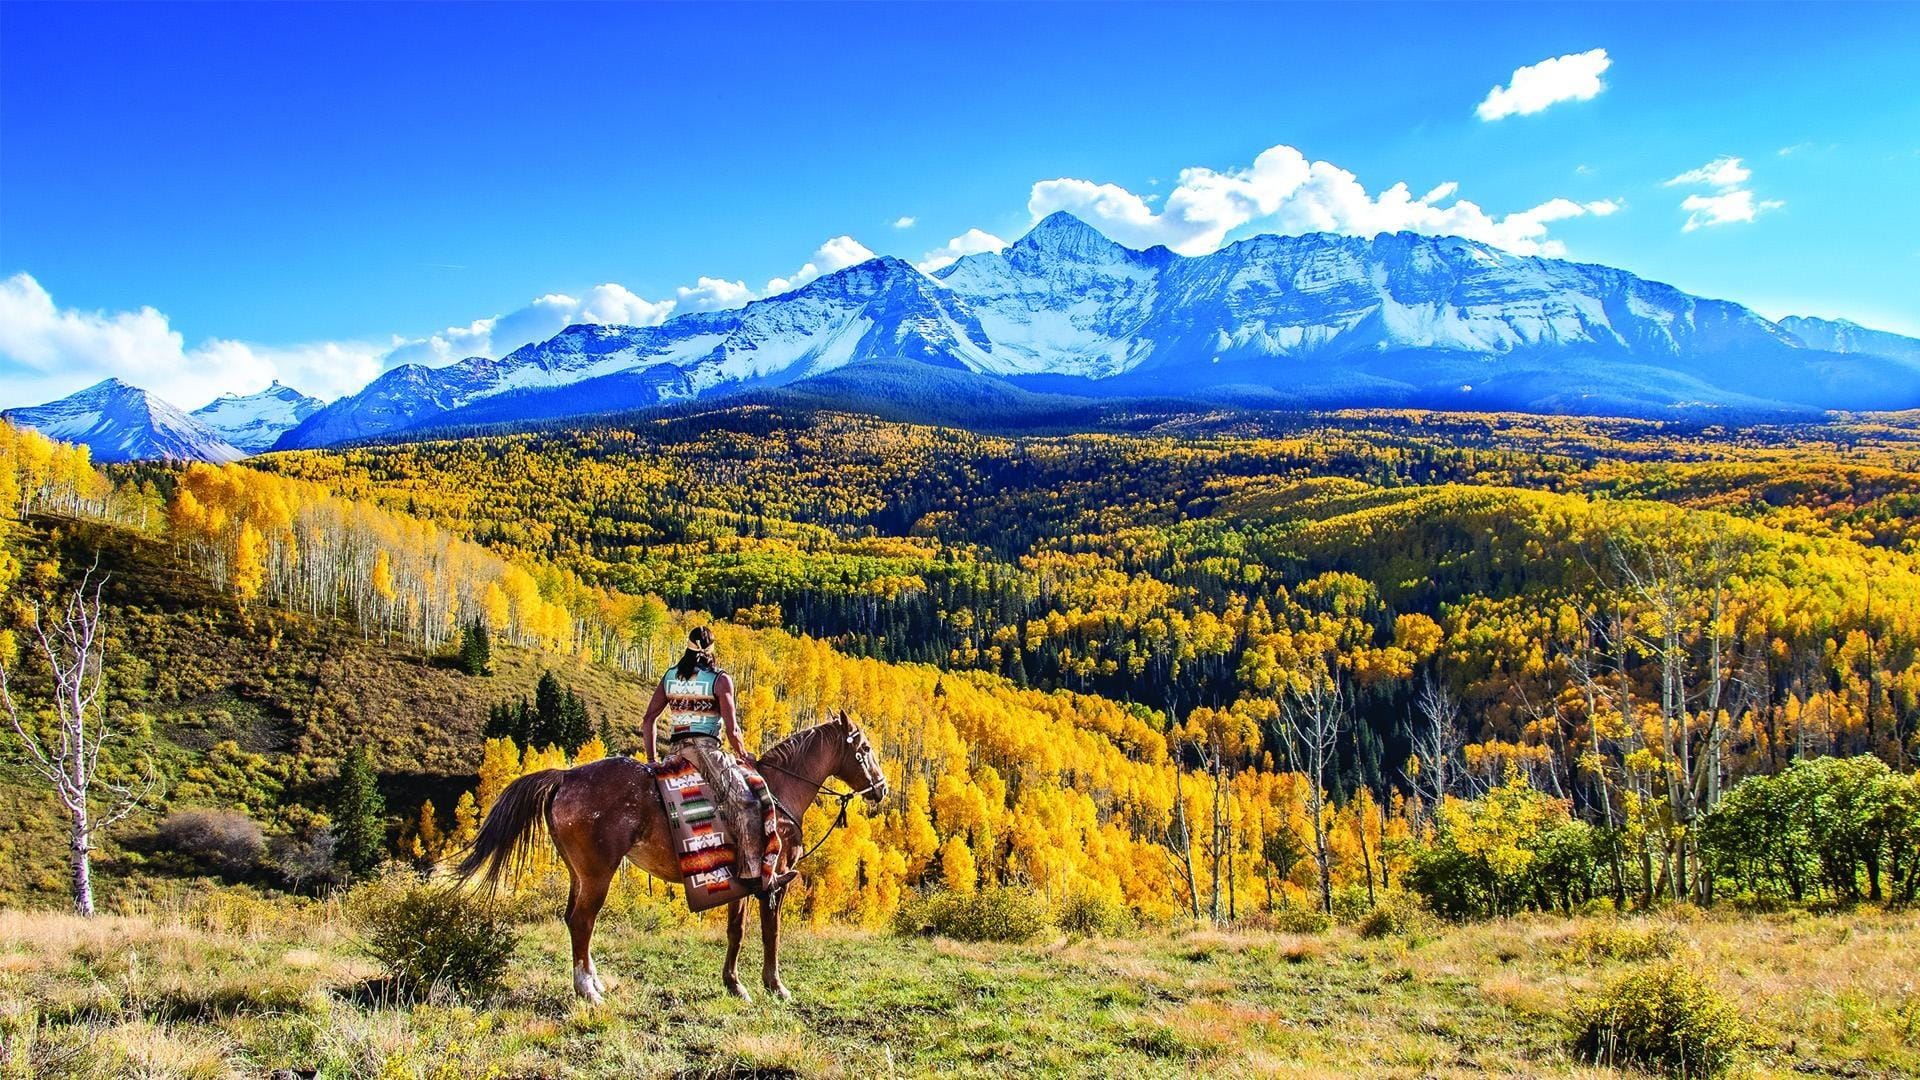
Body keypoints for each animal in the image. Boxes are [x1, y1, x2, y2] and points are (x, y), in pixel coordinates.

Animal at [453, 711, 888, 1003]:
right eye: (865, 749)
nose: (881, 788)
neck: (778, 792)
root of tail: (565, 776)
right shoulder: (773, 880)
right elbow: (771, 932)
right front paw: (775, 986)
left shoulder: (741, 881)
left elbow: (736, 931)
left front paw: (734, 984)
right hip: (598, 874)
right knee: (582, 921)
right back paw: (588, 990)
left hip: (578, 874)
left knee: (572, 919)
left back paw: (592, 981)